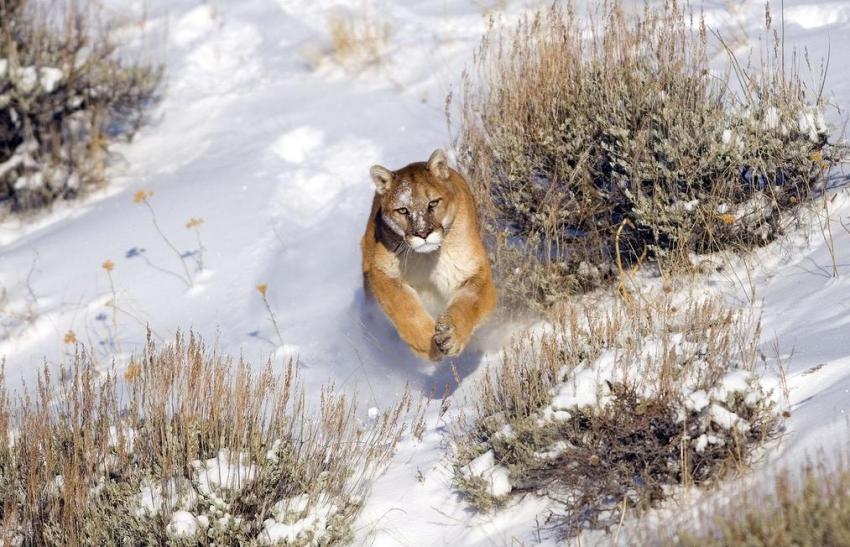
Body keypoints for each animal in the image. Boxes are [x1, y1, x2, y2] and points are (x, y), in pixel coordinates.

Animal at [360, 149, 497, 361]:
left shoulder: (476, 271)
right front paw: (426, 342)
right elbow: (405, 307)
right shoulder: (380, 272)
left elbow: (469, 301)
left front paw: (450, 335)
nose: (423, 233)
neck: (427, 259)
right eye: (403, 210)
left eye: (433, 203)